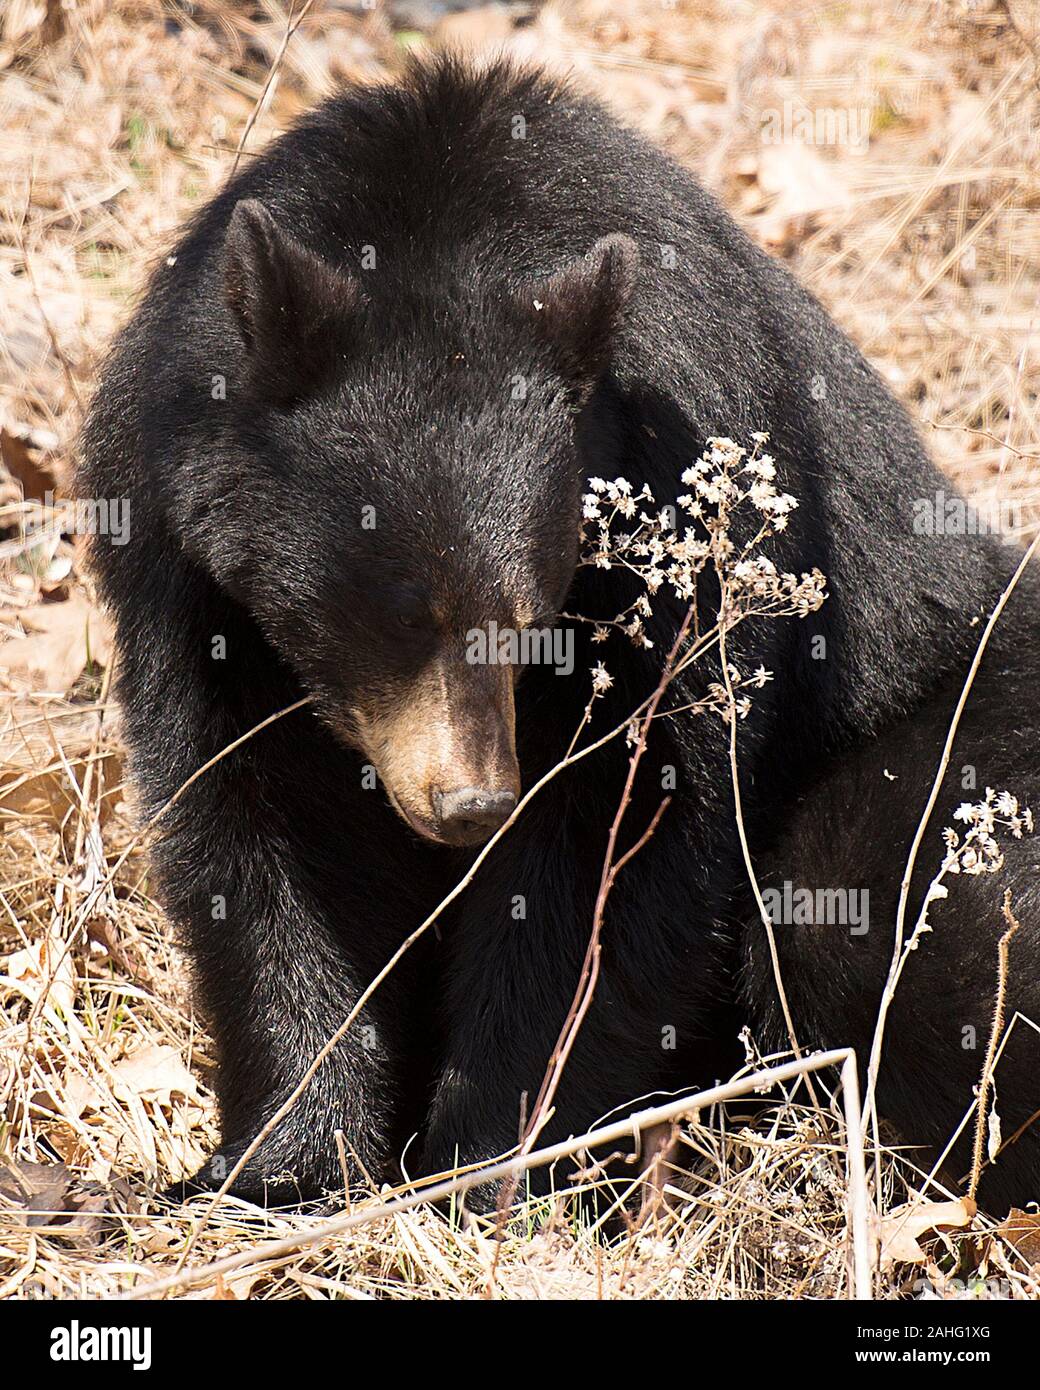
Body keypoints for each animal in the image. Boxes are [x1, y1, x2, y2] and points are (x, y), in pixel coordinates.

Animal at [80, 53, 1040, 1212]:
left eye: (526, 621)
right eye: (395, 612)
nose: (470, 805)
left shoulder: (678, 529)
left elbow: (615, 841)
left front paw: (485, 1157)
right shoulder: (189, 583)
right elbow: (252, 831)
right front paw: (278, 1163)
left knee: (885, 902)